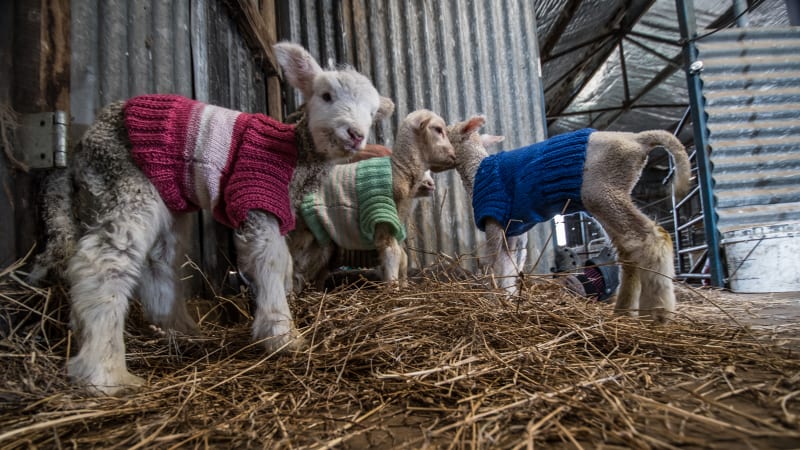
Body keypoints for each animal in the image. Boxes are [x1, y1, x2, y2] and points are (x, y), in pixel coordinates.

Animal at [29, 42, 394, 395]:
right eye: (326, 95)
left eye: (372, 112)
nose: (355, 134)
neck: (297, 158)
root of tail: (80, 147)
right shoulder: (255, 199)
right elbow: (272, 261)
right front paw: (281, 335)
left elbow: (287, 263)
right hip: (125, 180)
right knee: (104, 262)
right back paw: (104, 374)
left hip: (162, 199)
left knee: (159, 263)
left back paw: (180, 331)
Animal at [289, 110, 456, 292]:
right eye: (438, 129)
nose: (454, 156)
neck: (399, 172)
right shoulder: (383, 224)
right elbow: (392, 254)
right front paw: (393, 290)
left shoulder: (395, 226)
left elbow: (402, 258)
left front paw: (403, 286)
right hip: (303, 232)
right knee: (296, 263)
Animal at [447, 116, 691, 323]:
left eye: (445, 130)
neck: (476, 170)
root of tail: (638, 139)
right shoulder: (515, 232)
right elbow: (510, 265)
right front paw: (507, 297)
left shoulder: (494, 221)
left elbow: (492, 262)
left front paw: (492, 298)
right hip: (609, 197)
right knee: (629, 251)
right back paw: (623, 311)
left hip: (604, 193)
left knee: (652, 238)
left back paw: (657, 313)